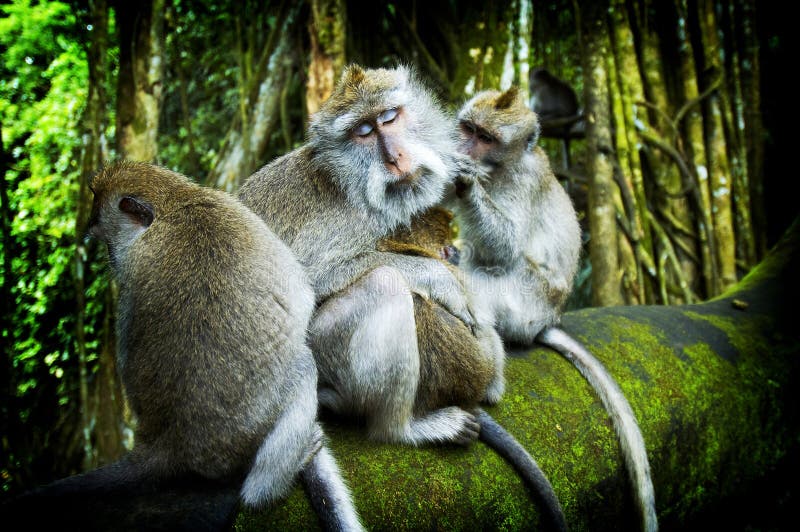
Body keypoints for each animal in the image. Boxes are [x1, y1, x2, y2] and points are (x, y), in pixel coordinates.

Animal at [2, 161, 363, 531]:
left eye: (105, 239)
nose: (111, 258)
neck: (175, 202)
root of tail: (168, 444)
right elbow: (302, 297)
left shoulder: (133, 274)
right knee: (302, 366)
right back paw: (270, 483)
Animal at [238, 65, 567, 531]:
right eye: (362, 131)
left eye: (389, 117)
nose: (394, 157)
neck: (353, 186)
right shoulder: (348, 222)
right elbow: (309, 280)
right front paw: (440, 279)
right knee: (384, 285)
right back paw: (401, 428)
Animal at [451, 87, 658, 532]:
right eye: (468, 128)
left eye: (485, 138)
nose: (462, 147)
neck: (502, 168)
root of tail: (550, 318)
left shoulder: (522, 182)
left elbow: (504, 248)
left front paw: (465, 184)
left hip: (527, 300)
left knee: (487, 276)